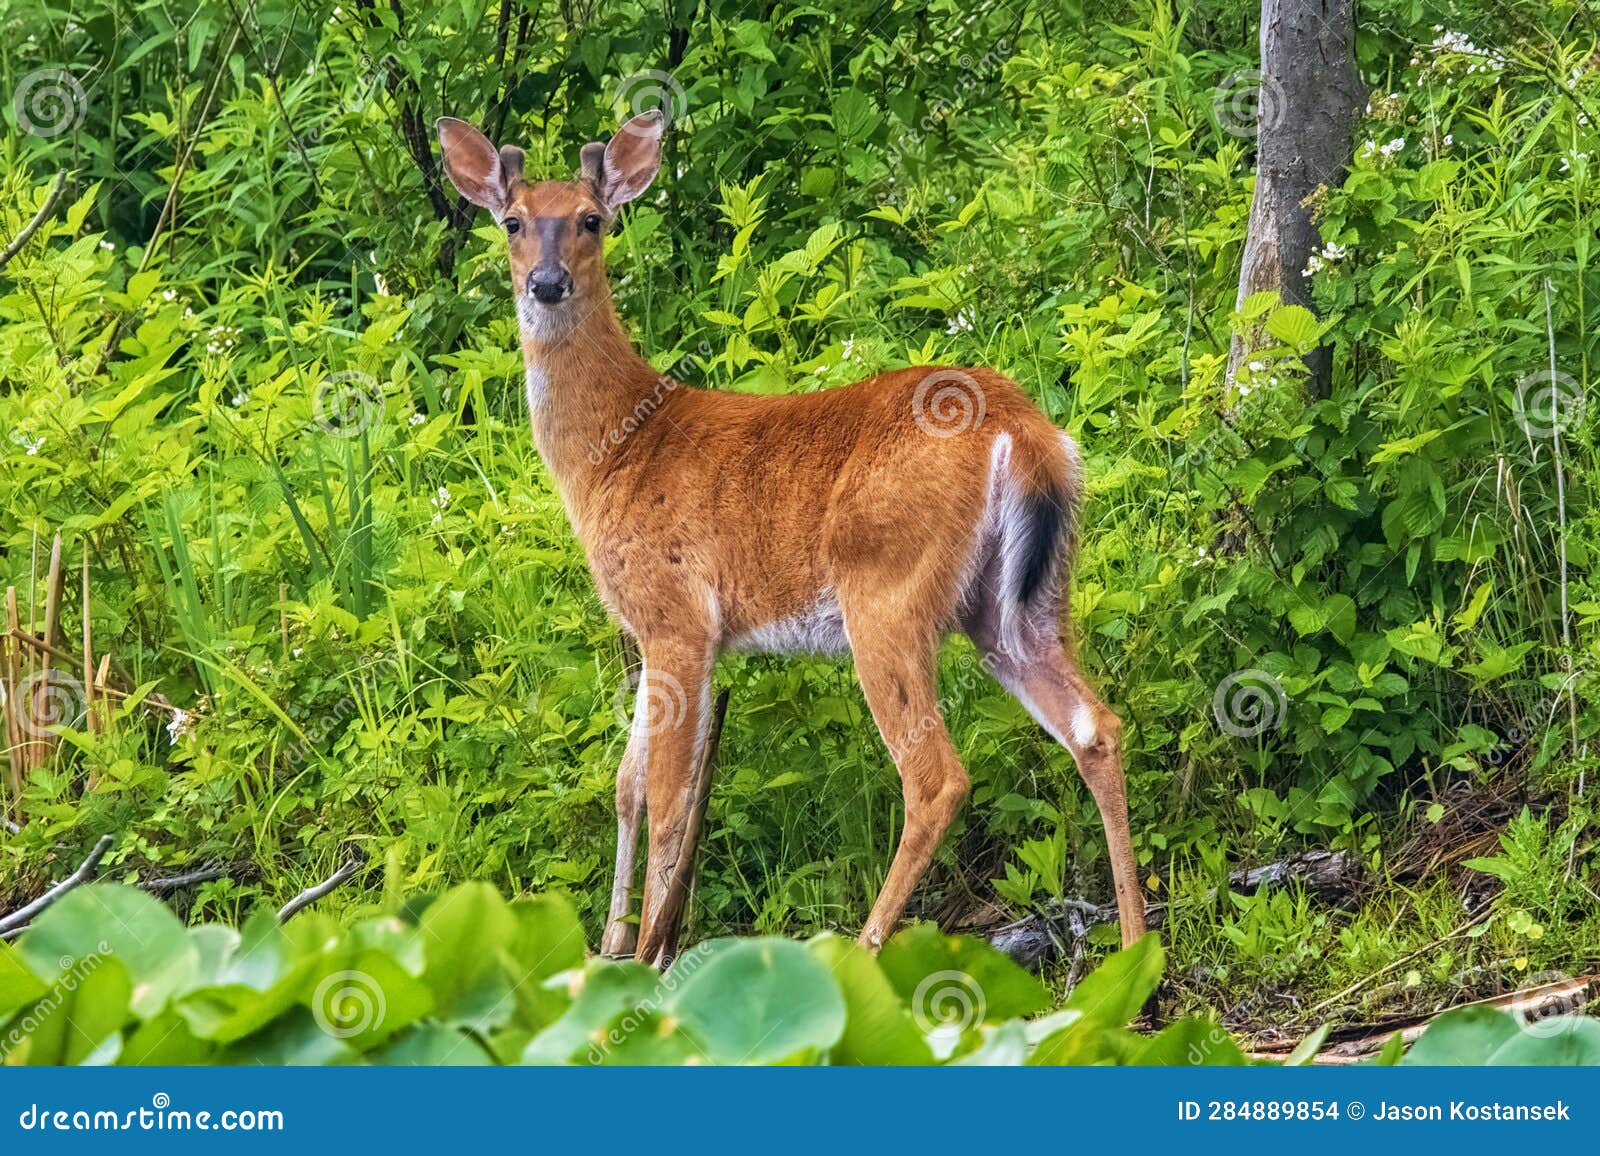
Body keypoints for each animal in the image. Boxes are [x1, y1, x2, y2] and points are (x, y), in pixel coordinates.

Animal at [436, 109, 1146, 965]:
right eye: (512, 222)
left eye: (591, 220)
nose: (546, 282)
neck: (615, 450)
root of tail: (1026, 431)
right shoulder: (656, 629)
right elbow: (626, 785)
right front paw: (610, 948)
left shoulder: (677, 615)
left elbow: (670, 799)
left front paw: (648, 956)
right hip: (1020, 600)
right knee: (1095, 727)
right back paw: (1138, 950)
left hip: (888, 590)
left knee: (936, 777)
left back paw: (863, 950)